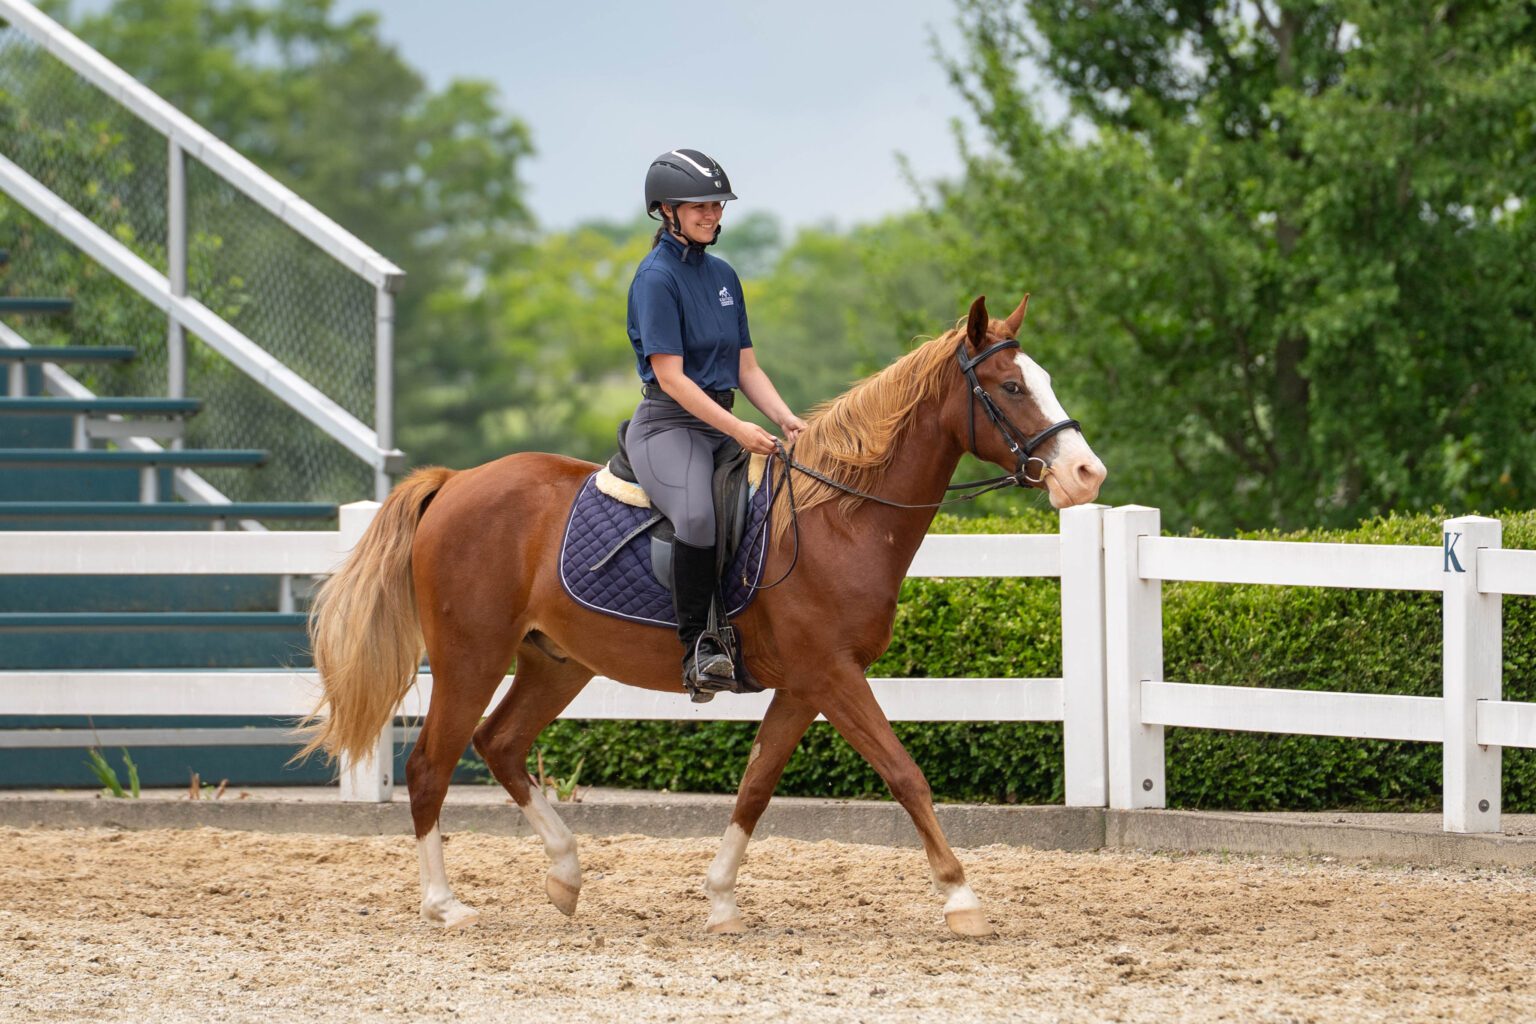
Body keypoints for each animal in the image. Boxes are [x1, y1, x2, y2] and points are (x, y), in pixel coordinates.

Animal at [301, 294, 1107, 936]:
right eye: (1010, 386)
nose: (1086, 474)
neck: (836, 520)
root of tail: (455, 482)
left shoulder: (805, 685)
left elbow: (755, 787)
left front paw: (720, 900)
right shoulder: (834, 675)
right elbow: (905, 774)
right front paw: (962, 899)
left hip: (555, 663)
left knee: (499, 745)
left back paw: (565, 875)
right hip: (471, 657)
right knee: (431, 765)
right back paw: (447, 906)